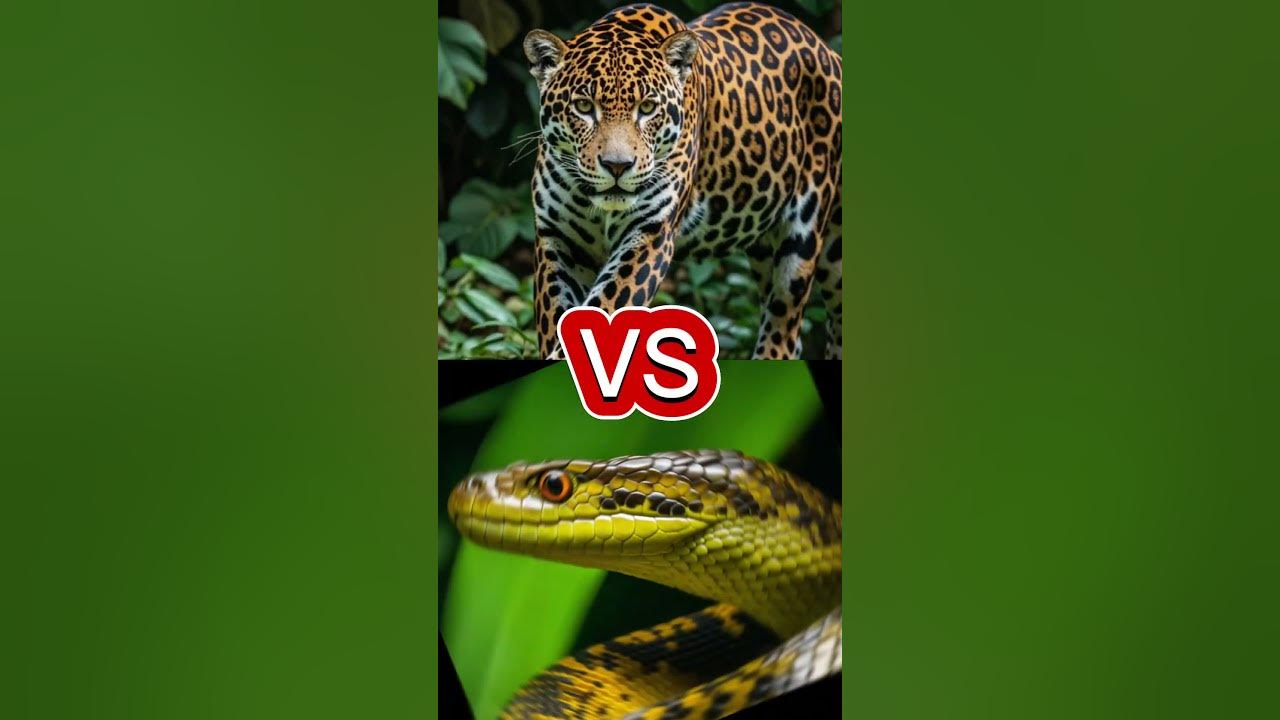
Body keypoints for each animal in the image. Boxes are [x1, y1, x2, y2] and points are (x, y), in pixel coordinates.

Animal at [524, 2, 842, 360]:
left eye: (647, 108)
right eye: (583, 106)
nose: (618, 166)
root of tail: (828, 50)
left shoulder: (649, 234)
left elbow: (607, 307)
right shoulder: (558, 237)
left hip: (802, 244)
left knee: (785, 331)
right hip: (768, 247)